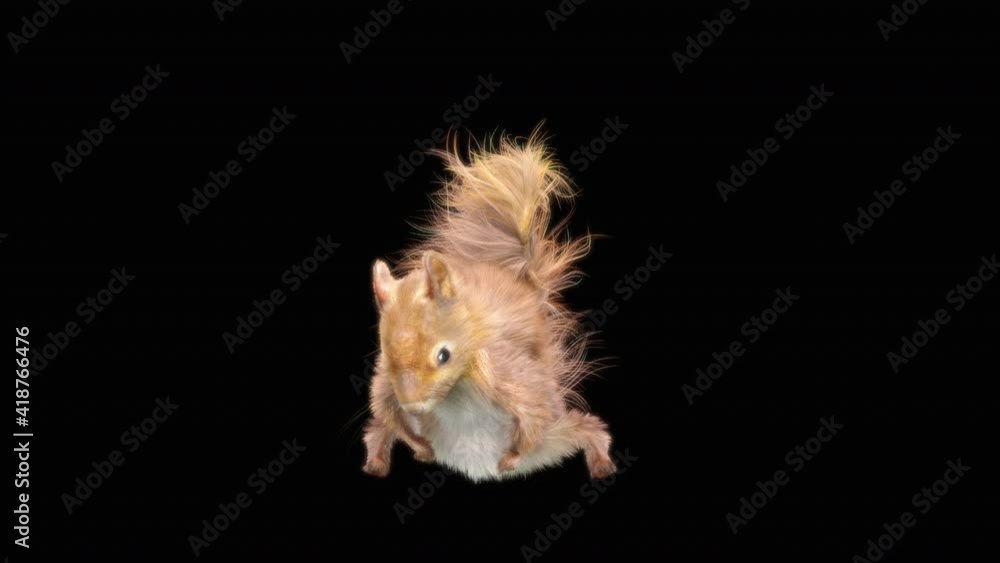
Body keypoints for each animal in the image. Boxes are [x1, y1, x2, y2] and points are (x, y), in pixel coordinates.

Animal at [362, 129, 616, 482]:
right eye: (384, 354)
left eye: (444, 355)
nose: (413, 406)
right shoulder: (387, 387)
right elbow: (387, 411)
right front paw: (420, 448)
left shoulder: (503, 366)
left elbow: (535, 406)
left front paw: (512, 458)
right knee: (378, 431)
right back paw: (377, 461)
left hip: (555, 436)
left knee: (588, 429)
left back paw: (599, 462)